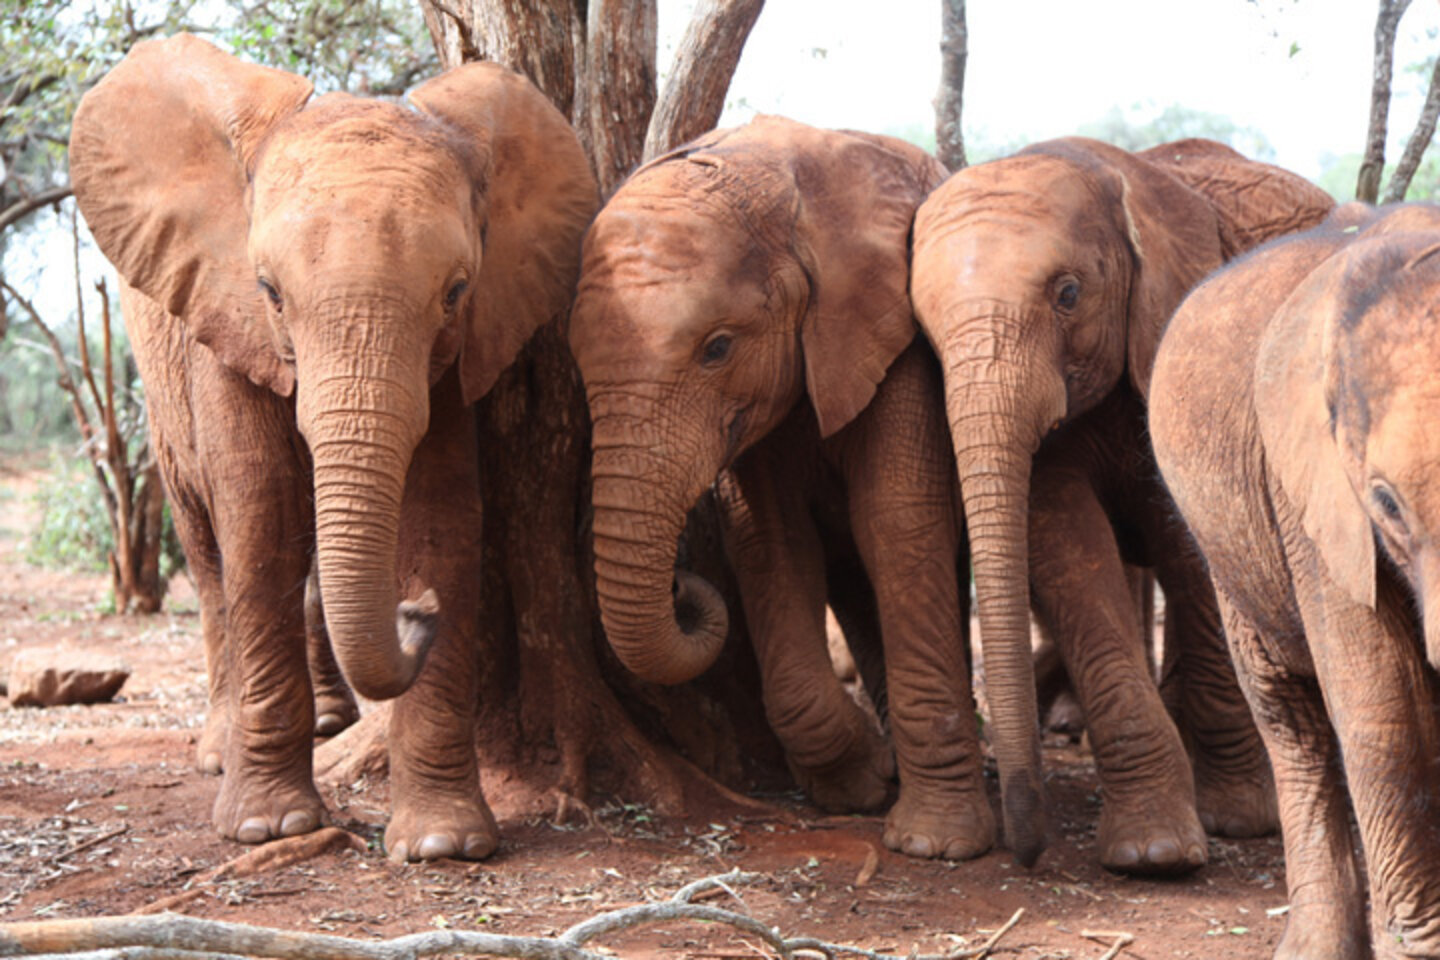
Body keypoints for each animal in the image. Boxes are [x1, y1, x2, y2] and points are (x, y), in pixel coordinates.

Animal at [68, 34, 597, 860]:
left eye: (455, 292)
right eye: (270, 291)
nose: (416, 611)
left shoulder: (454, 352)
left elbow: (442, 509)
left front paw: (442, 844)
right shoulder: (225, 320)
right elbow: (261, 509)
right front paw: (269, 827)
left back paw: (325, 723)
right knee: (206, 546)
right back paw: (221, 751)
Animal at [569, 116, 996, 860]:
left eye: (717, 348)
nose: (681, 584)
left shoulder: (898, 336)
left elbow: (898, 523)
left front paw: (935, 844)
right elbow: (770, 540)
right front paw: (858, 785)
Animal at [909, 136, 1334, 873]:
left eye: (1068, 295)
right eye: (925, 334)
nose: (1025, 851)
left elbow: (1189, 551)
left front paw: (1235, 820)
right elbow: (1068, 554)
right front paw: (1152, 851)